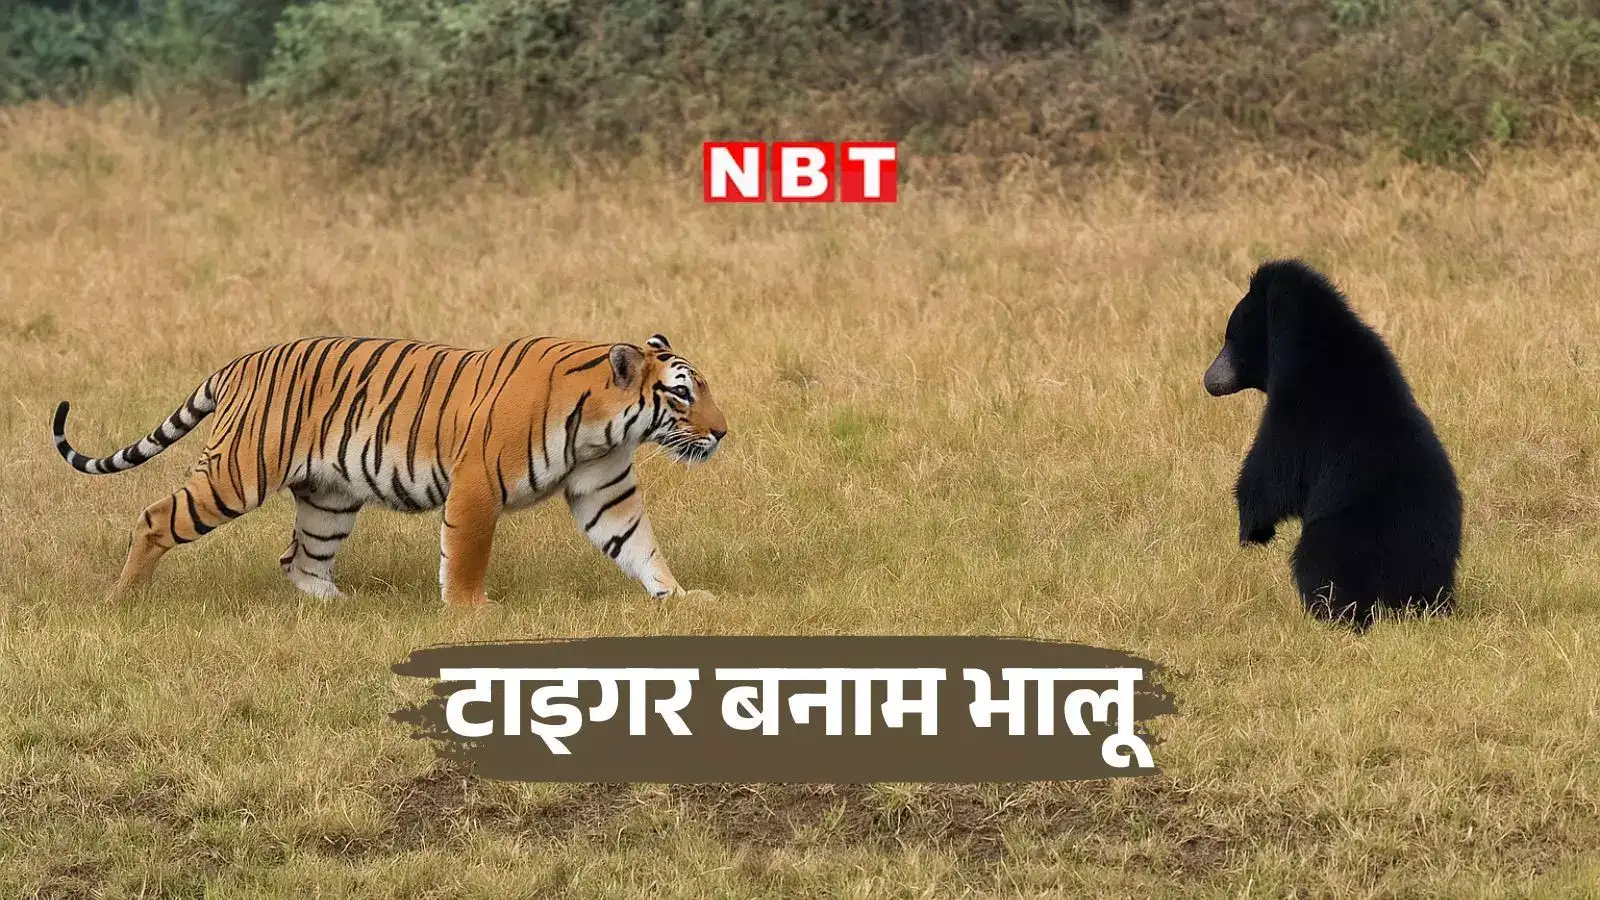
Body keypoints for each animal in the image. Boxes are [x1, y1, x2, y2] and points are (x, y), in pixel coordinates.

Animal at [51, 333, 728, 606]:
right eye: (683, 394)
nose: (722, 432)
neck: (603, 427)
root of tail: (240, 362)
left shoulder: (605, 489)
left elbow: (638, 545)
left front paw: (681, 597)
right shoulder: (476, 484)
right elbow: (467, 552)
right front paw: (472, 611)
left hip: (329, 498)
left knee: (299, 560)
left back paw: (343, 606)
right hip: (235, 478)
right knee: (154, 517)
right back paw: (122, 599)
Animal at [1203, 259, 1463, 631]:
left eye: (1229, 337)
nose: (1209, 380)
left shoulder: (1300, 410)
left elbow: (1273, 470)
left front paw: (1251, 530)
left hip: (1343, 541)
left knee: (1318, 567)